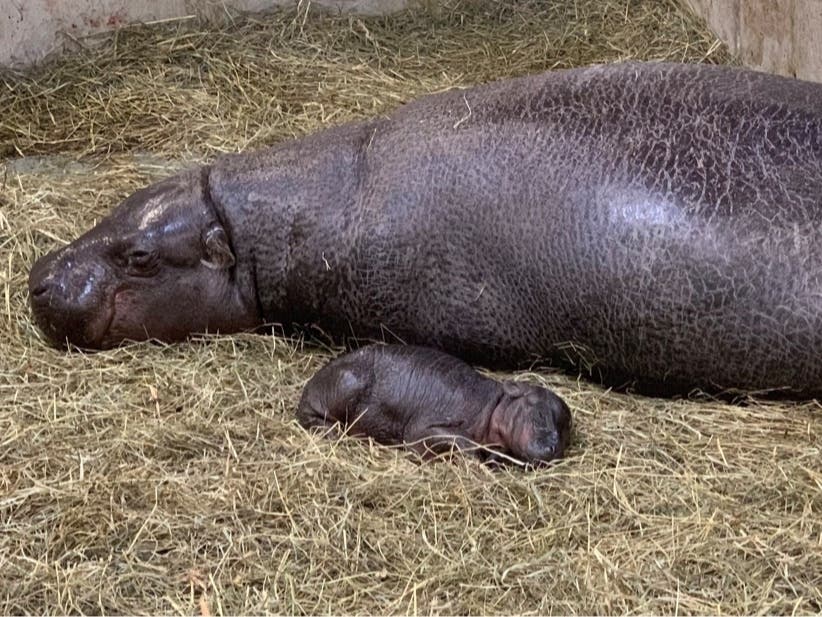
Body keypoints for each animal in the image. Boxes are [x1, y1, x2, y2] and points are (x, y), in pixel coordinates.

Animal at [297, 344, 572, 466]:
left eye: (566, 436)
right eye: (539, 413)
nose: (552, 447)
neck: (492, 406)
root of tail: (314, 380)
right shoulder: (422, 428)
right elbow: (460, 440)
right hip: (346, 384)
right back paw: (334, 433)